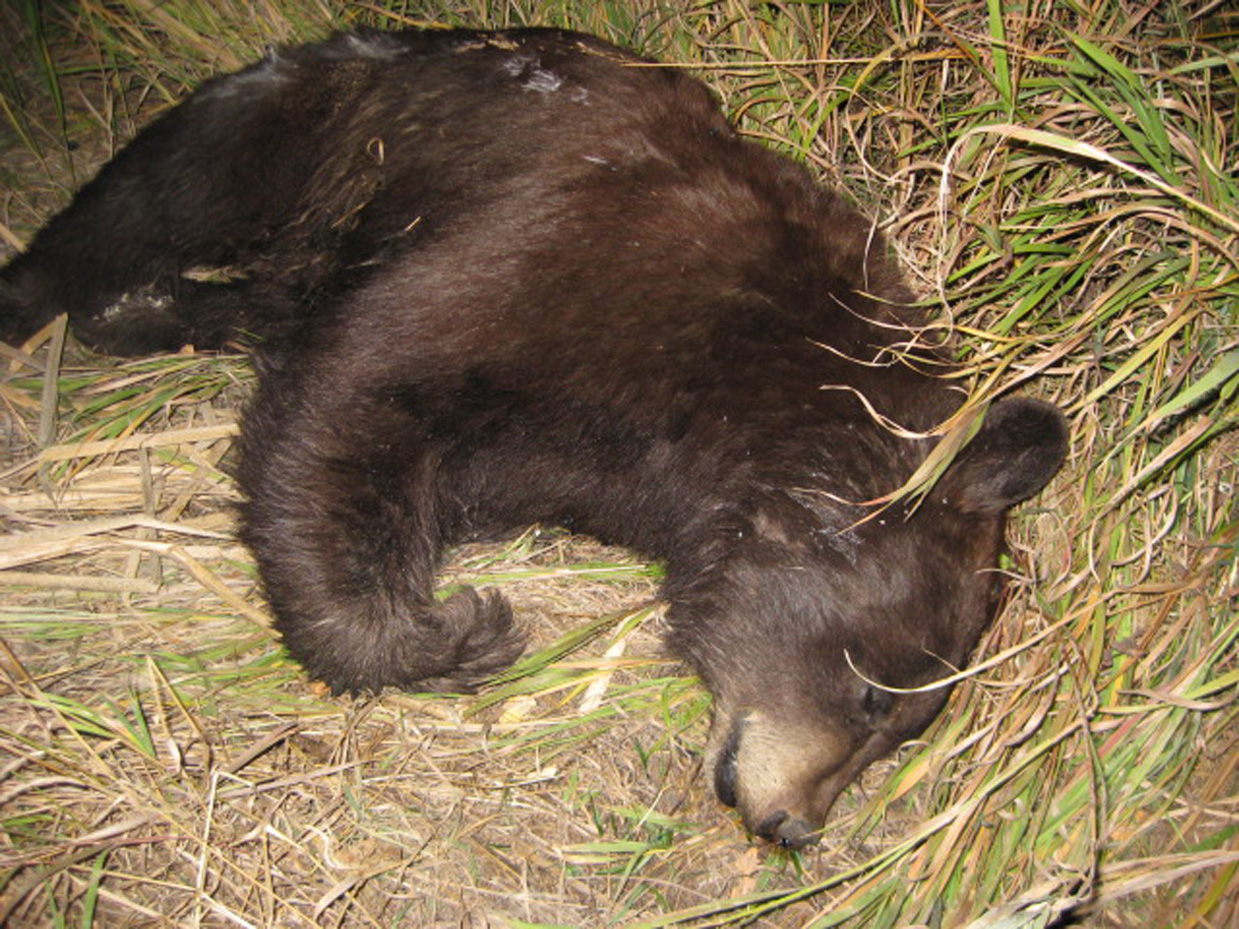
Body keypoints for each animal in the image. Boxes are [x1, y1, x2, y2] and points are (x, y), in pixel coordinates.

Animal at [0, 27, 1068, 848]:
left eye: (906, 729)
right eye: (876, 699)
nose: (792, 825)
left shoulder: (598, 461)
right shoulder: (571, 258)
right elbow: (351, 391)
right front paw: (452, 629)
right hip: (313, 122)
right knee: (155, 197)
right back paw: (57, 295)